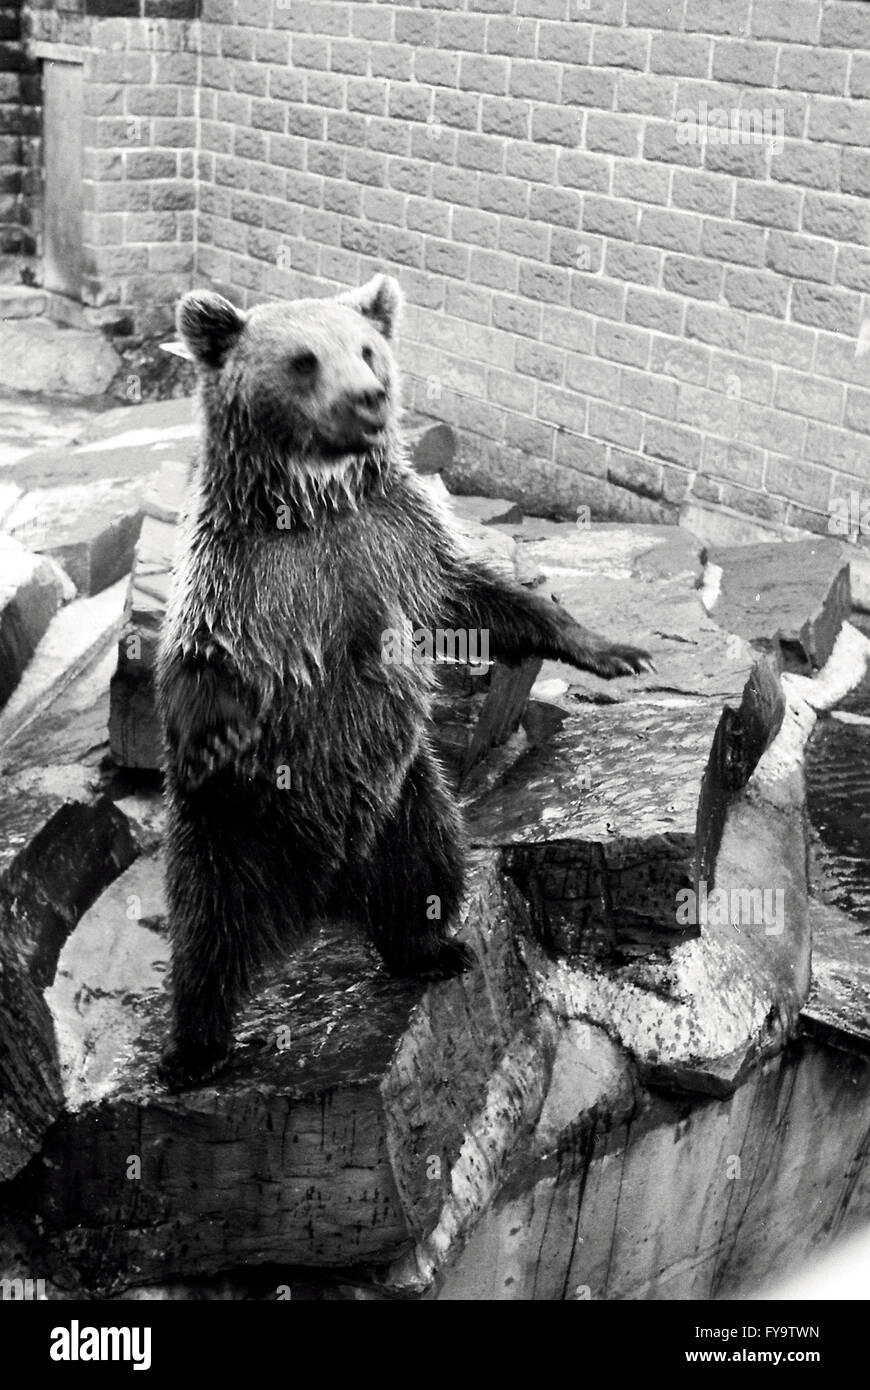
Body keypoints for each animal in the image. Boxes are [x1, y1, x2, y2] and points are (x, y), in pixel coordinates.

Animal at [156, 273, 653, 1089]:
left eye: (366, 348)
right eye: (302, 359)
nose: (370, 397)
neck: (318, 502)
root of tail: (322, 897)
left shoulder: (395, 544)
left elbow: (478, 599)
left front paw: (610, 647)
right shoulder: (244, 579)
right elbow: (209, 660)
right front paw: (219, 731)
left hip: (408, 796)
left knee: (426, 867)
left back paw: (431, 948)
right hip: (232, 827)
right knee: (209, 934)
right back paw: (195, 1049)